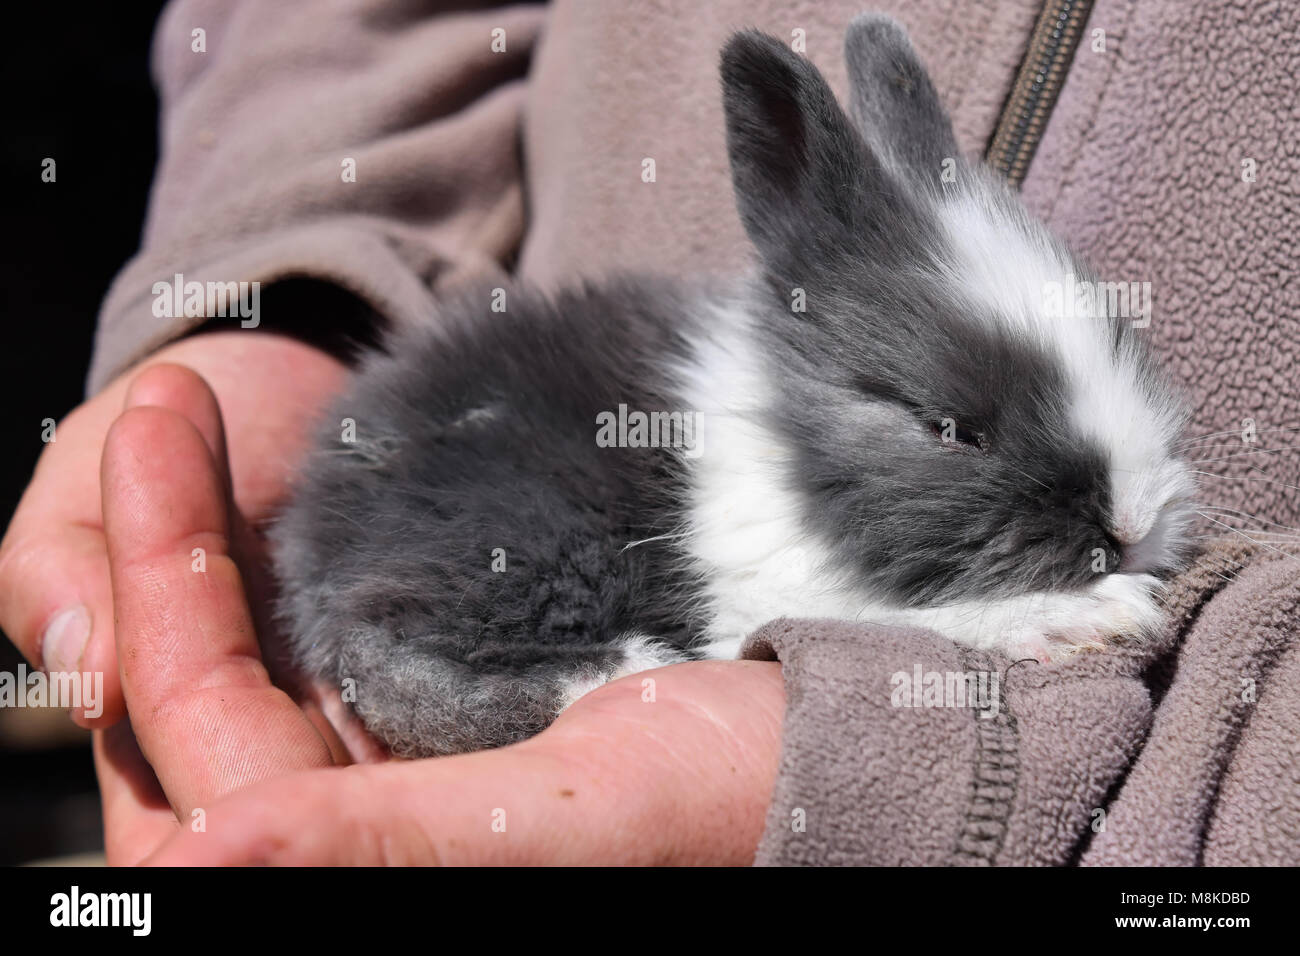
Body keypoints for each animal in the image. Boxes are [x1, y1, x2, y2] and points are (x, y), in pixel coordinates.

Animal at [270, 15, 1197, 757]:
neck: (785, 438)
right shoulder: (763, 584)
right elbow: (903, 616)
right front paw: (1087, 615)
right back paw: (623, 665)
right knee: (387, 658)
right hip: (524, 534)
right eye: (952, 429)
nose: (1130, 527)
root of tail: (314, 533)